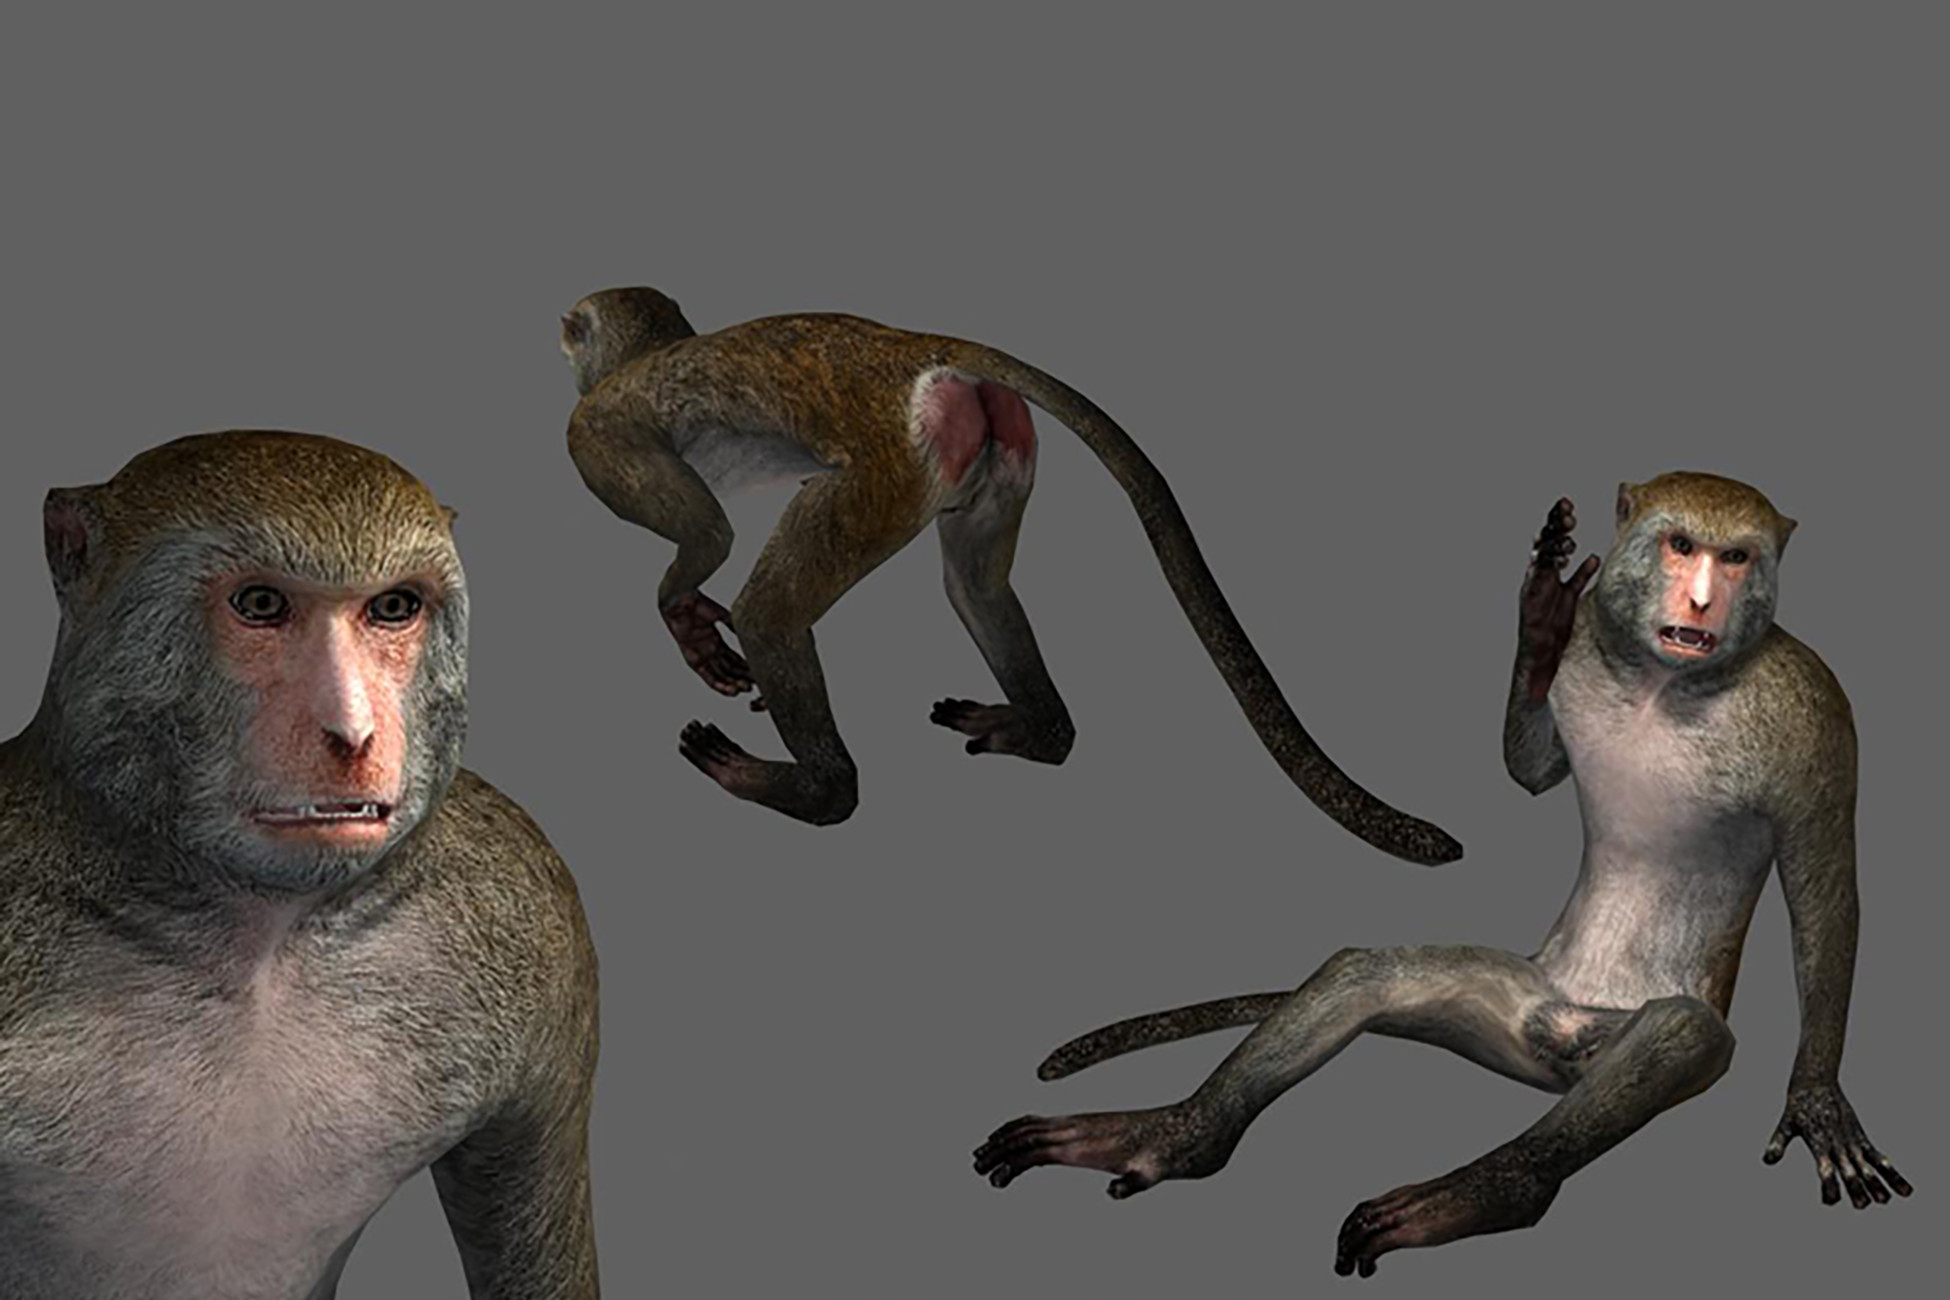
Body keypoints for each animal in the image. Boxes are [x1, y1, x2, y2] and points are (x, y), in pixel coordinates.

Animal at [556, 285, 1461, 866]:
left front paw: (682, 615)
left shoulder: (592, 433)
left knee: (775, 609)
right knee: (977, 589)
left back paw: (812, 789)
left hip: (890, 460)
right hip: (995, 439)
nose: (555, 334)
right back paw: (1041, 733)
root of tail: (909, 348)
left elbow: (708, 532)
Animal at [974, 473, 1911, 1277]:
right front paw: (1536, 622)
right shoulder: (1594, 653)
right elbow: (1531, 769)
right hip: (1512, 1010)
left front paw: (1817, 1100)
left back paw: (1487, 1195)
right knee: (1369, 971)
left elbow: (1824, 887)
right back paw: (1177, 1136)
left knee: (1681, 1031)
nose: (1701, 600)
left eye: (1737, 556)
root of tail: (1558, 1031)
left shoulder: (1812, 708)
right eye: (1682, 545)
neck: (1661, 680)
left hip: (1587, 1037)